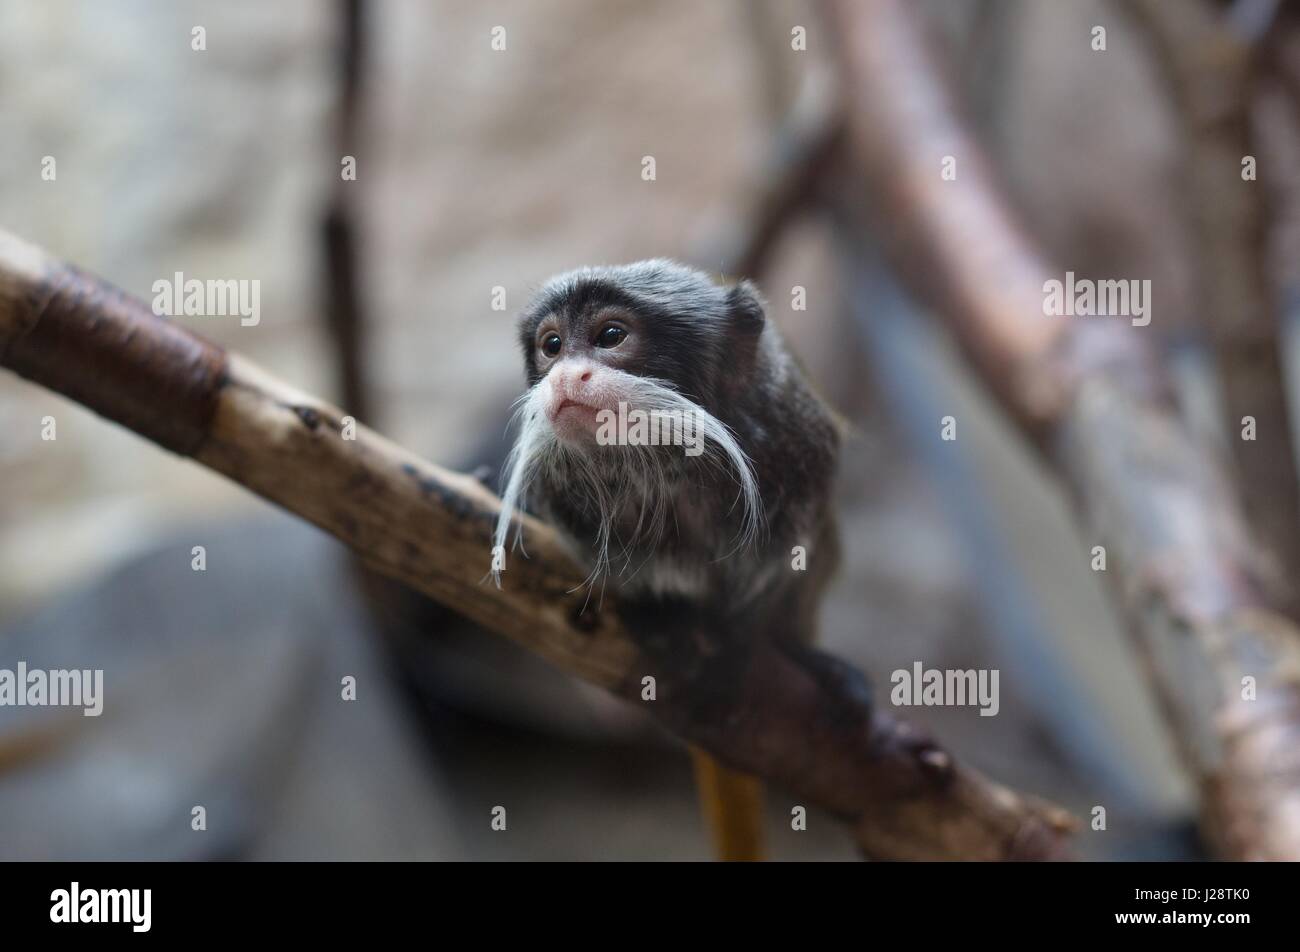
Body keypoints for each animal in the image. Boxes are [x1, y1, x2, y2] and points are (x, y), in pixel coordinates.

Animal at [492, 259, 842, 859]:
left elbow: (787, 560)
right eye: (552, 346)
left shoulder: (798, 448)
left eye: (611, 335)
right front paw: (663, 616)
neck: (671, 466)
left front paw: (740, 640)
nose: (566, 376)